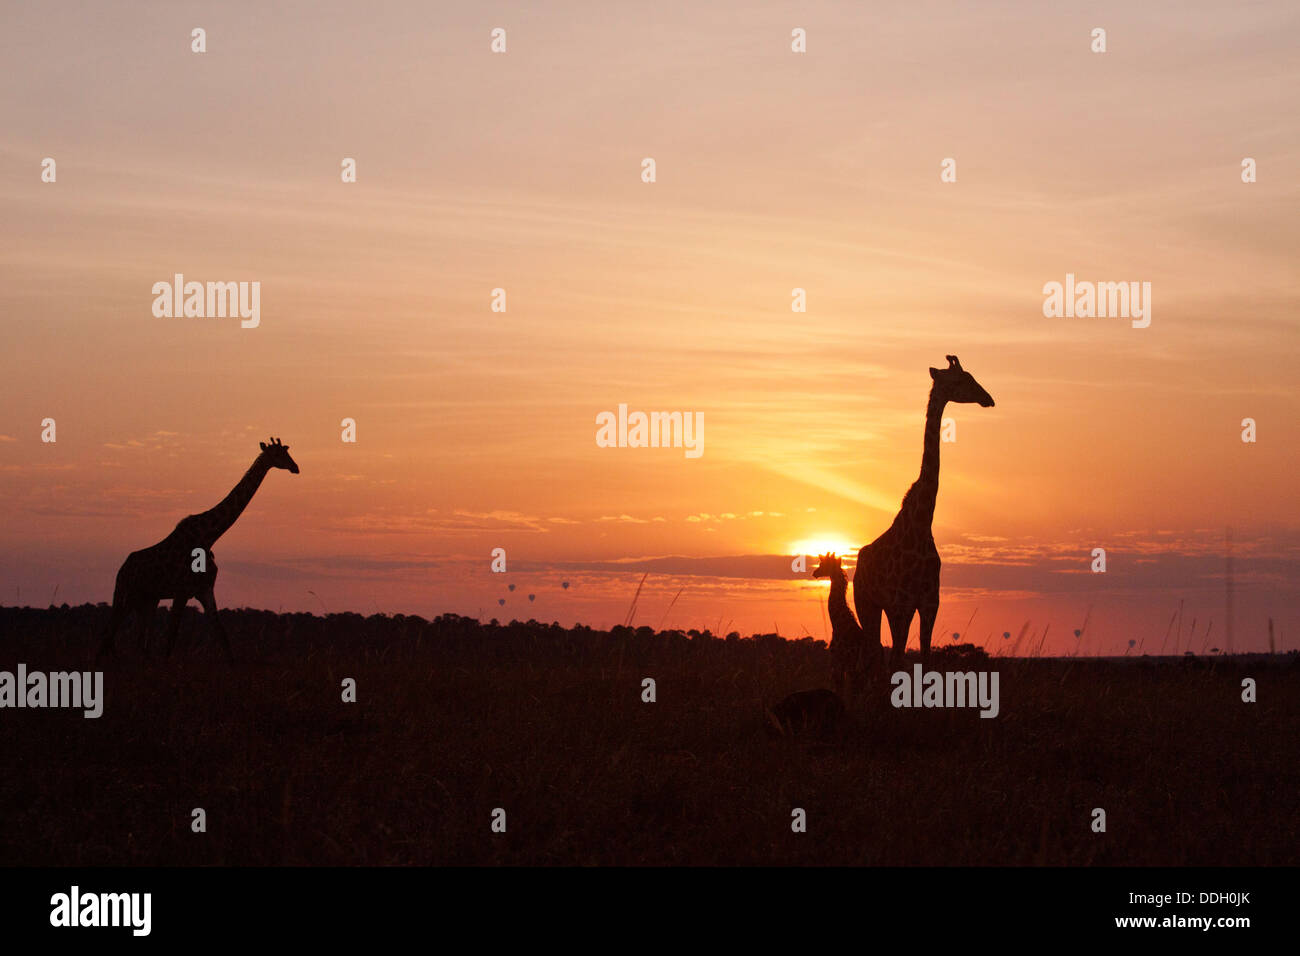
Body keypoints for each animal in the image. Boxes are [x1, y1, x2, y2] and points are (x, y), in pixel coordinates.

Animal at [96, 438, 300, 663]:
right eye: (278, 455)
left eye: (287, 452)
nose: (295, 467)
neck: (209, 537)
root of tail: (122, 569)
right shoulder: (181, 591)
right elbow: (171, 637)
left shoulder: (205, 590)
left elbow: (221, 634)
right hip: (128, 595)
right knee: (109, 633)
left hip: (148, 599)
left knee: (138, 640)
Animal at [812, 552, 875, 700]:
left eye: (822, 564)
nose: (814, 573)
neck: (838, 625)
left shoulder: (837, 660)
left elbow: (840, 687)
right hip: (866, 670)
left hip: (855, 667)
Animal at [854, 356, 994, 668]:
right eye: (961, 379)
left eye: (971, 376)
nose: (988, 399)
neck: (921, 523)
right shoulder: (901, 604)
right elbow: (897, 659)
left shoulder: (930, 603)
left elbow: (926, 657)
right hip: (865, 602)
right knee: (872, 653)